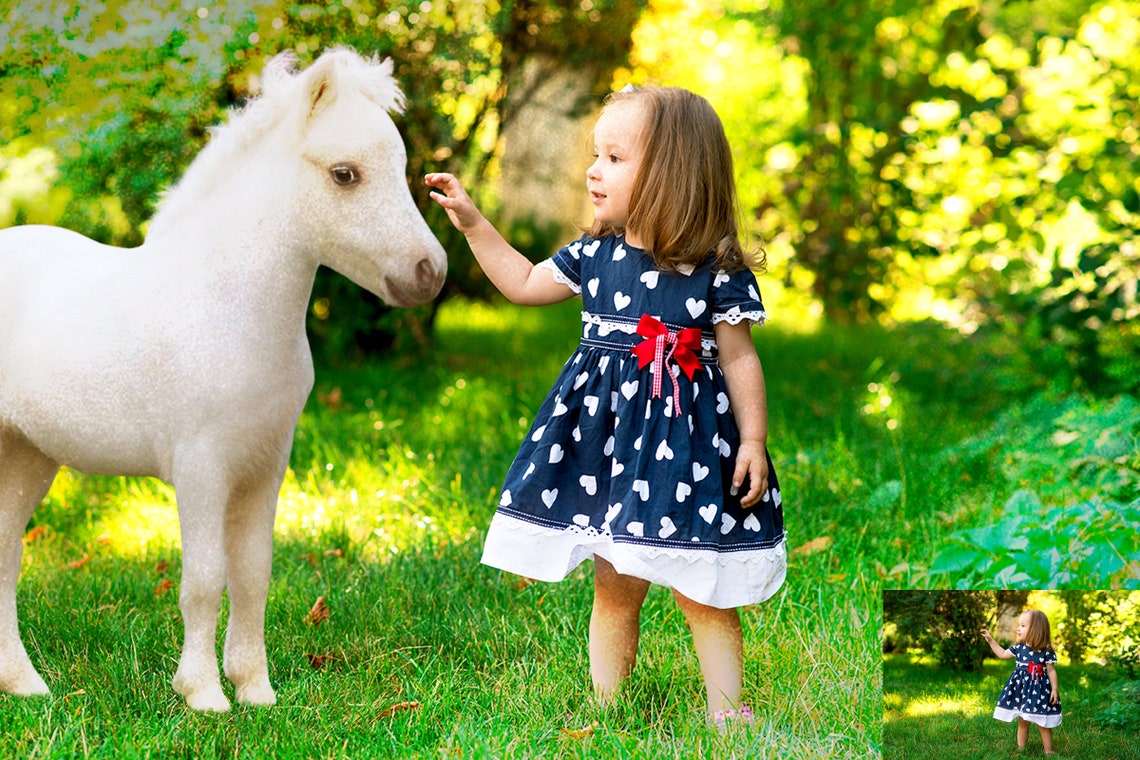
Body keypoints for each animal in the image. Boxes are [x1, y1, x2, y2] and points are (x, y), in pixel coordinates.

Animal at [0, 48, 447, 712]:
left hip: (28, 456)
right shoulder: (202, 470)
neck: (228, 306)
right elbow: (205, 580)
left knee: (5, 553)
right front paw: (204, 694)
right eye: (344, 174)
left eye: (400, 165)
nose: (428, 273)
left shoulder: (264, 468)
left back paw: (24, 684)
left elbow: (253, 574)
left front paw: (255, 689)